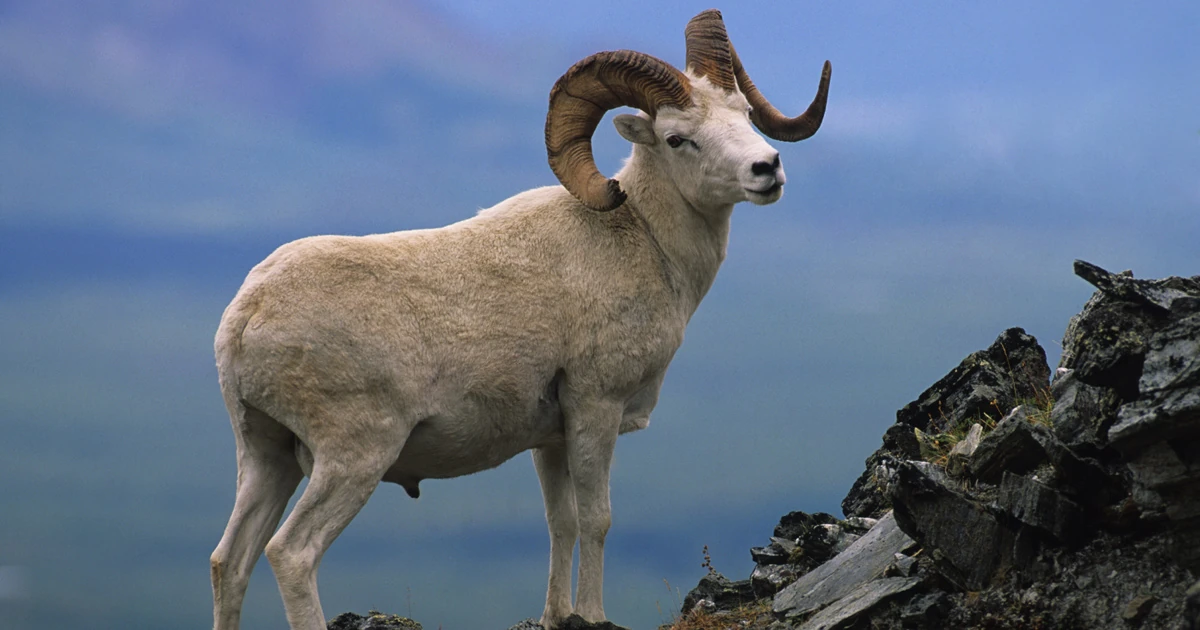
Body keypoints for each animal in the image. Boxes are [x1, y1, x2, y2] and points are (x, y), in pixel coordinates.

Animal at [209, 9, 830, 630]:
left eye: (743, 114)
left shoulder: (549, 437)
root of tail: (245, 317)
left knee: (229, 562)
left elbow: (562, 522)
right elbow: (597, 519)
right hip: (352, 457)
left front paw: (559, 615)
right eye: (679, 138)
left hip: (266, 458)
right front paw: (593, 615)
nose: (767, 169)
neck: (645, 241)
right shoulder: (596, 409)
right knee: (292, 554)